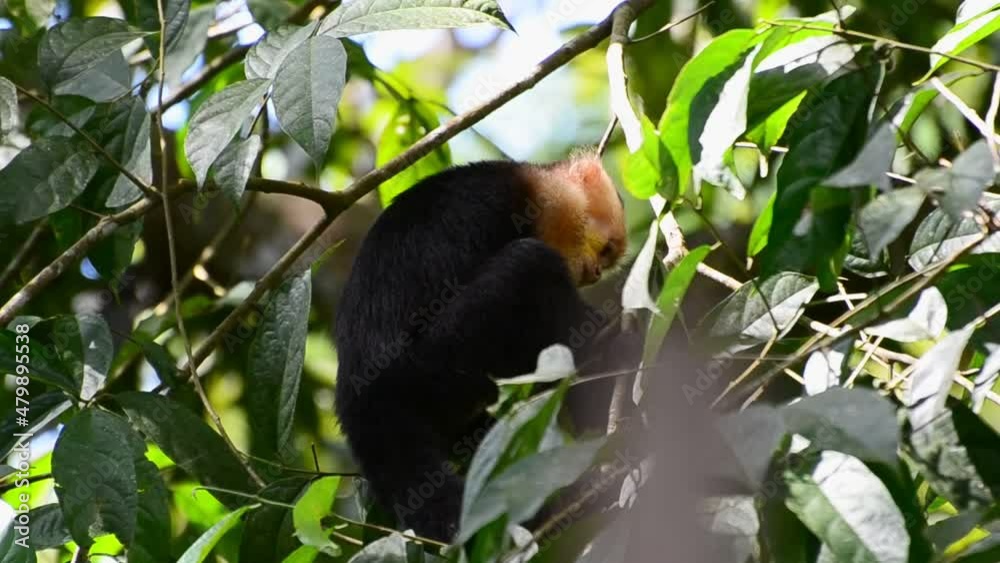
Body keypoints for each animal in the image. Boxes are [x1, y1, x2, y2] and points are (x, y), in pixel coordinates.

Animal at [333, 152, 627, 542]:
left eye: (607, 261)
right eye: (605, 250)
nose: (594, 273)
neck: (536, 190)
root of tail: (359, 396)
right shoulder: (511, 200)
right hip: (435, 360)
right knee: (529, 264)